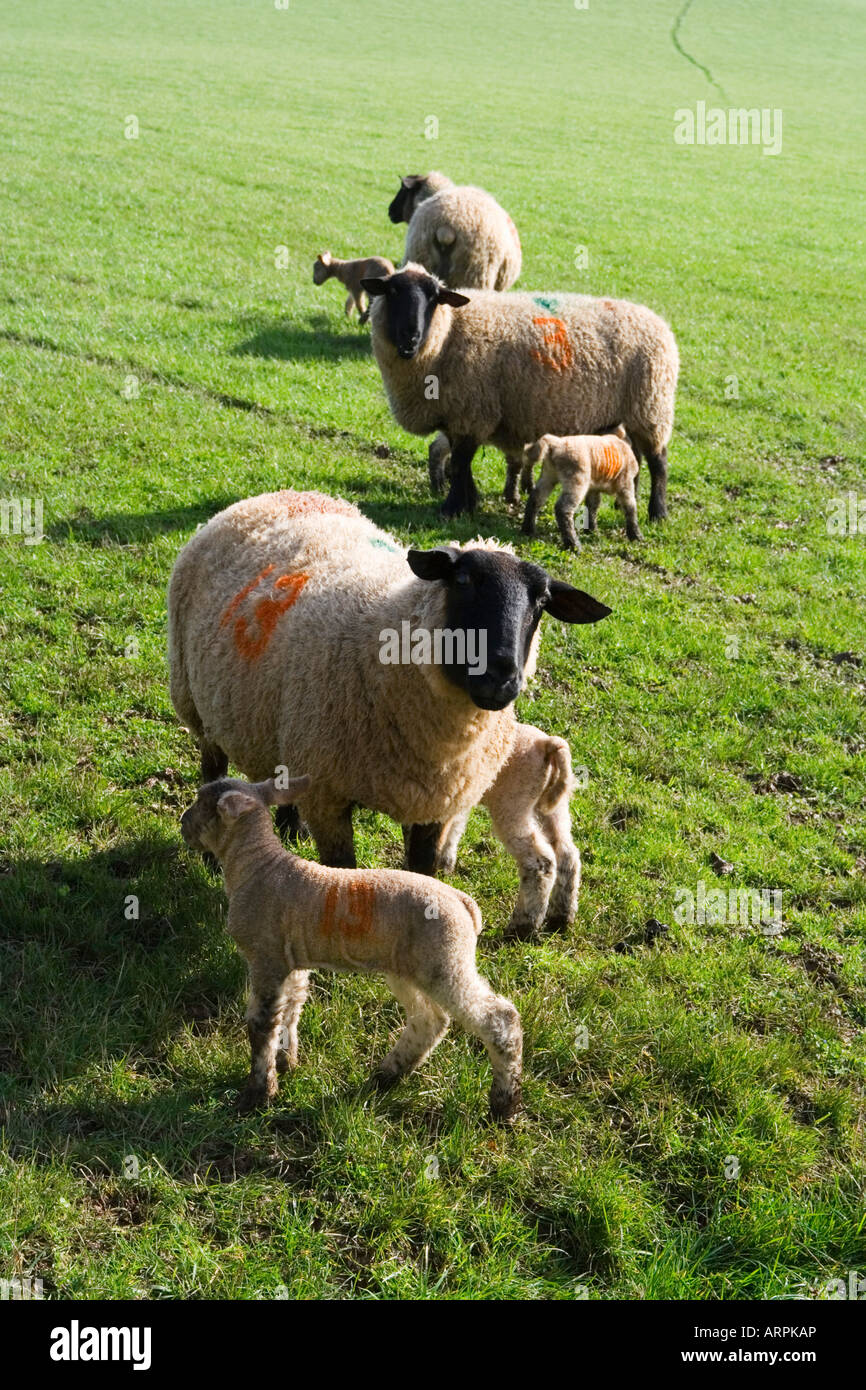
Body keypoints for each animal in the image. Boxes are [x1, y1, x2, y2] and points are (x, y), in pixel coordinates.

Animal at [168, 488, 611, 881]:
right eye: (463, 580)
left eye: (542, 602)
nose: (502, 678)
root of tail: (274, 494)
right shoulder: (328, 796)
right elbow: (343, 872)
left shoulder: (435, 803)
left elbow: (422, 870)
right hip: (196, 702)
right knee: (212, 765)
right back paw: (213, 854)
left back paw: (291, 828)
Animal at [180, 773, 523, 1120]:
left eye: (202, 803)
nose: (182, 823)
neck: (257, 866)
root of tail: (464, 903)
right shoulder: (292, 962)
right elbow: (291, 1011)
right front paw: (286, 1062)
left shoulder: (266, 957)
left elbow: (262, 1026)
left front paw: (258, 1094)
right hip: (410, 966)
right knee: (430, 1020)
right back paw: (387, 1075)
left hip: (444, 961)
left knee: (499, 1018)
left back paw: (504, 1103)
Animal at [361, 263, 678, 521]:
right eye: (392, 291)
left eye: (434, 297)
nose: (410, 337)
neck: (449, 333)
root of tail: (659, 323)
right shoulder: (458, 416)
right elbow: (461, 464)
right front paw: (469, 502)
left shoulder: (472, 412)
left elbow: (461, 463)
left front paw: (451, 508)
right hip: (628, 414)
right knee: (635, 455)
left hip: (650, 406)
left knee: (658, 461)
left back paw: (657, 513)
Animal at [436, 723, 581, 939]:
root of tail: (547, 744)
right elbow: (453, 828)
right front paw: (442, 866)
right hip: (553, 807)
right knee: (567, 854)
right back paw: (560, 918)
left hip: (512, 805)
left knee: (541, 862)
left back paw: (522, 927)